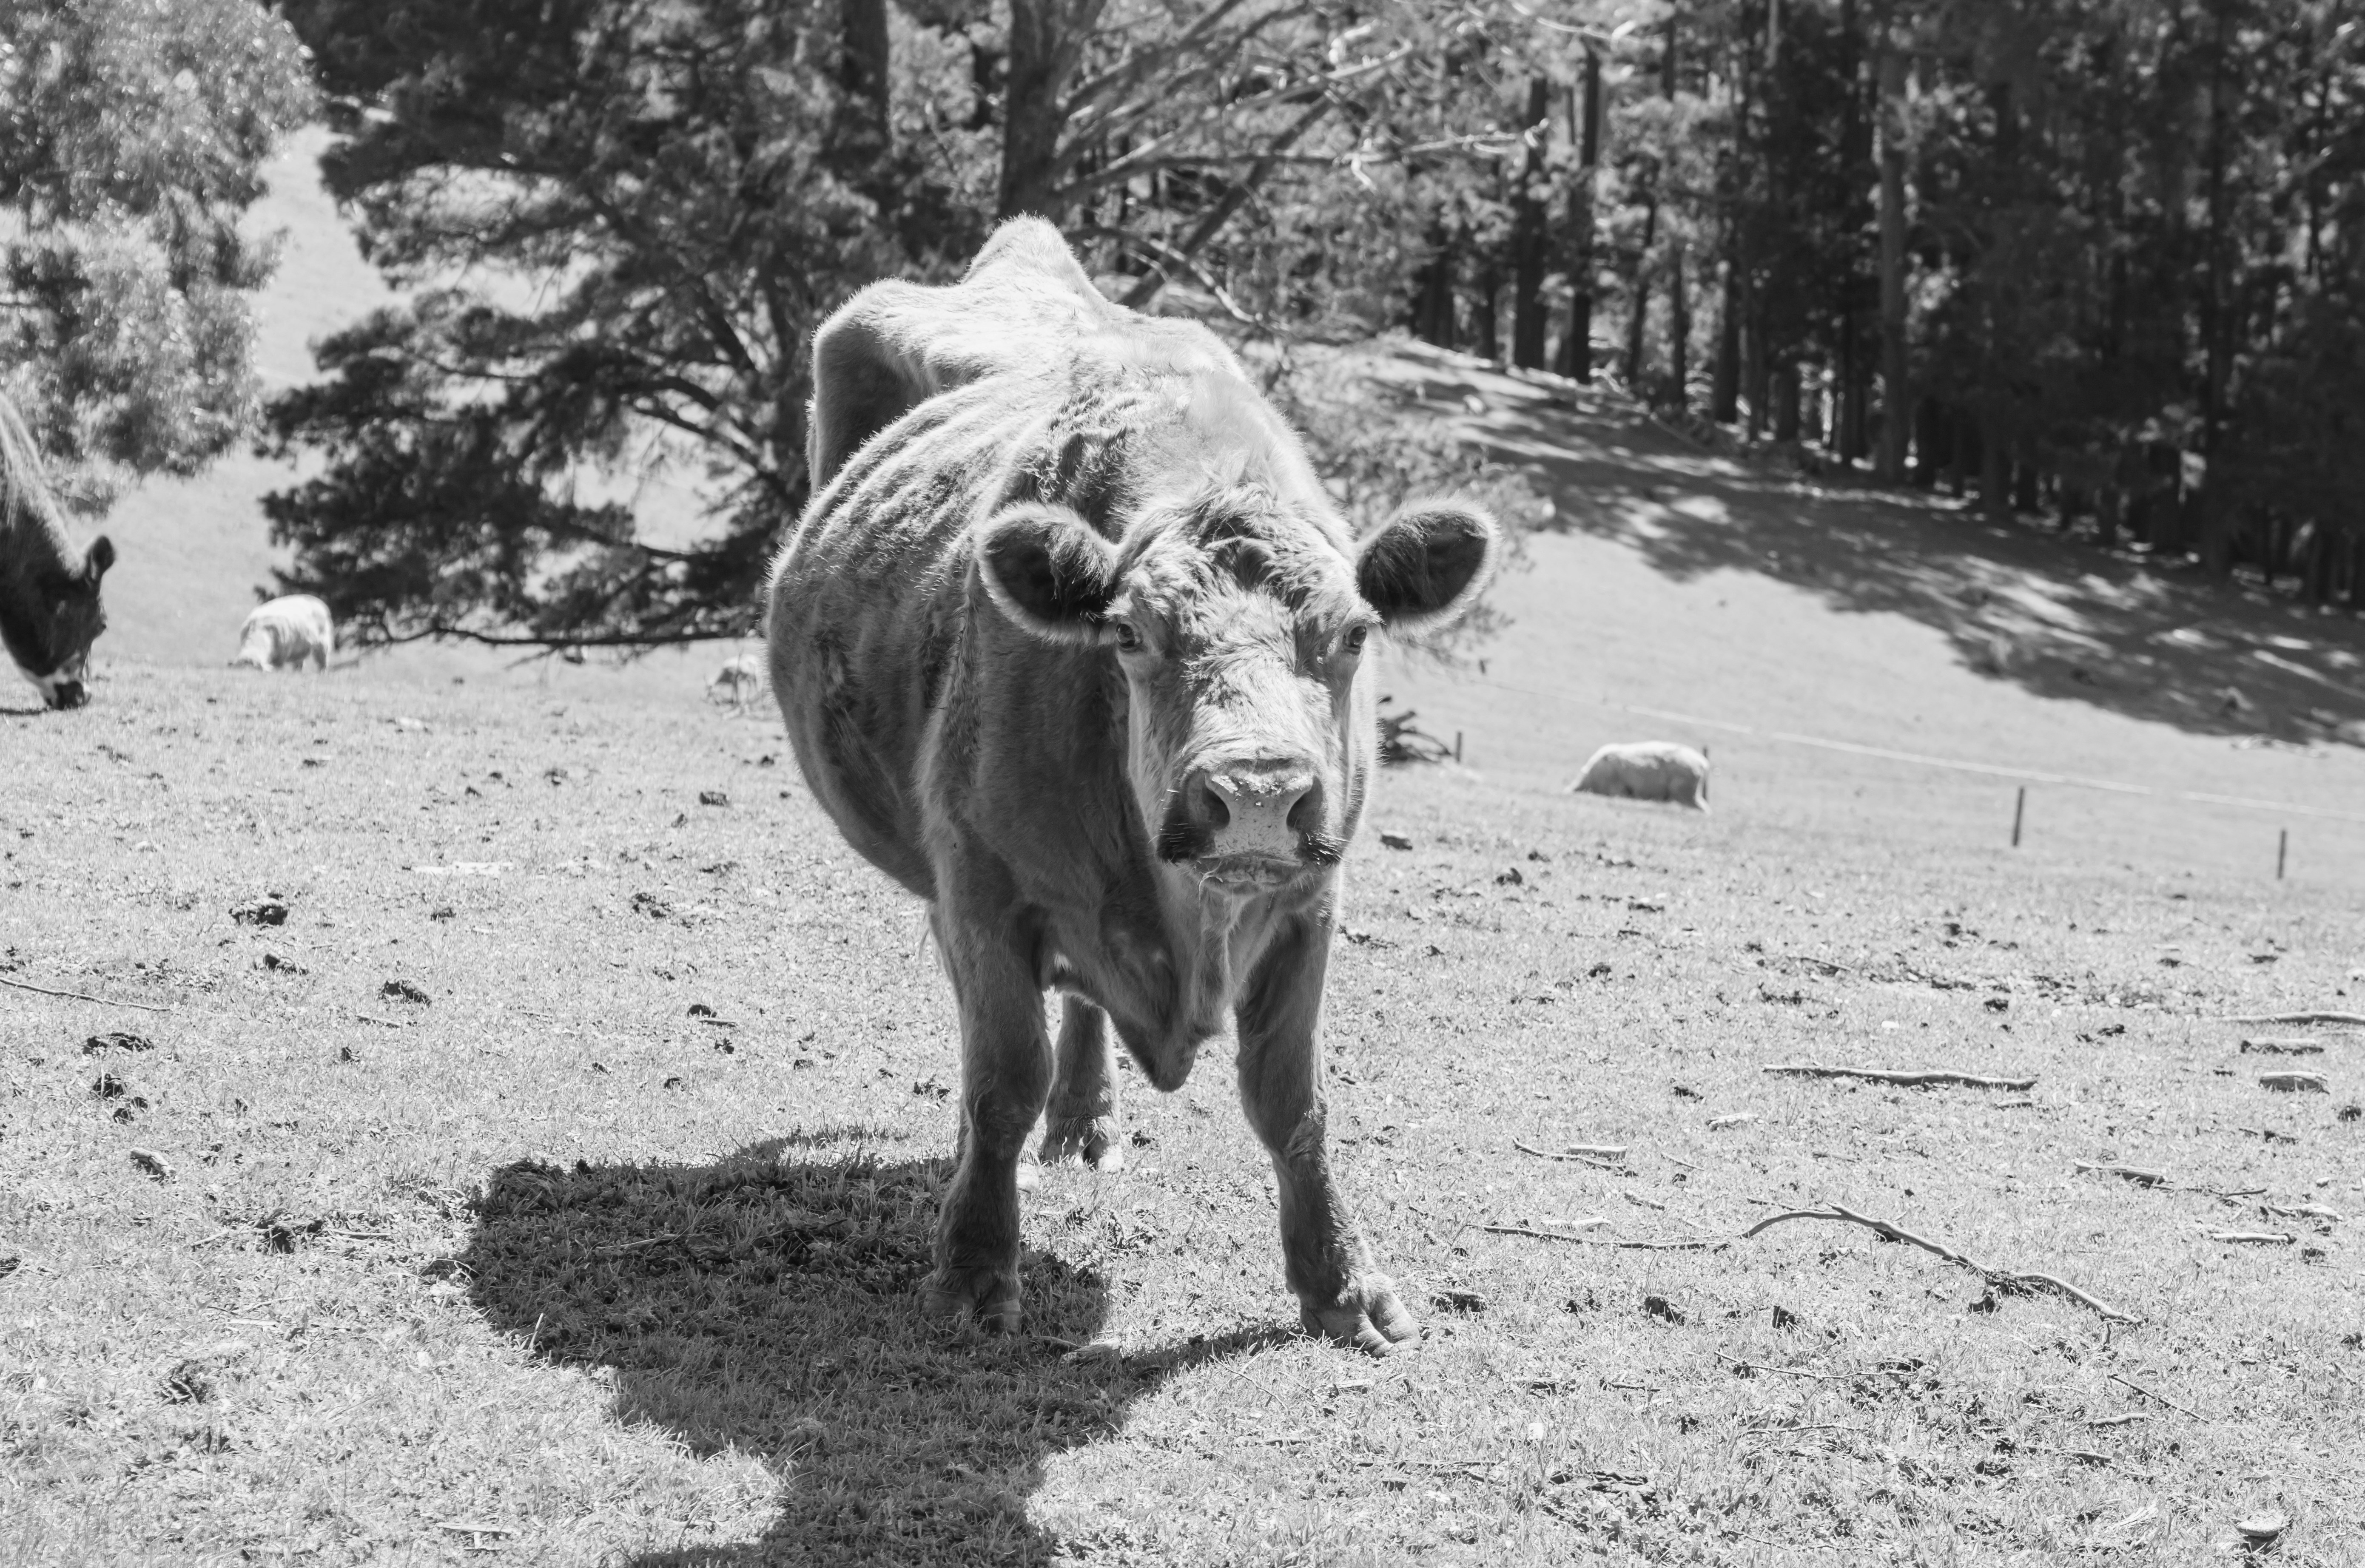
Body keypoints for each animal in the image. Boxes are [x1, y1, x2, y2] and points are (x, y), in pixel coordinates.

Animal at [229, 595, 335, 672]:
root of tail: (316, 600)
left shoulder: (280, 658)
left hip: (324, 643)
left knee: (323, 662)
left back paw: (322, 673)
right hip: (301, 648)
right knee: (299, 664)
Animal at [765, 219, 1498, 1354]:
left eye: (1354, 631)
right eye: (1130, 634)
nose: (1255, 793)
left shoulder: (1310, 902)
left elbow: (1291, 1098)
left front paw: (1343, 1284)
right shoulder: (984, 890)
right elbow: (999, 1079)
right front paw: (973, 1270)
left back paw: (1088, 1121)